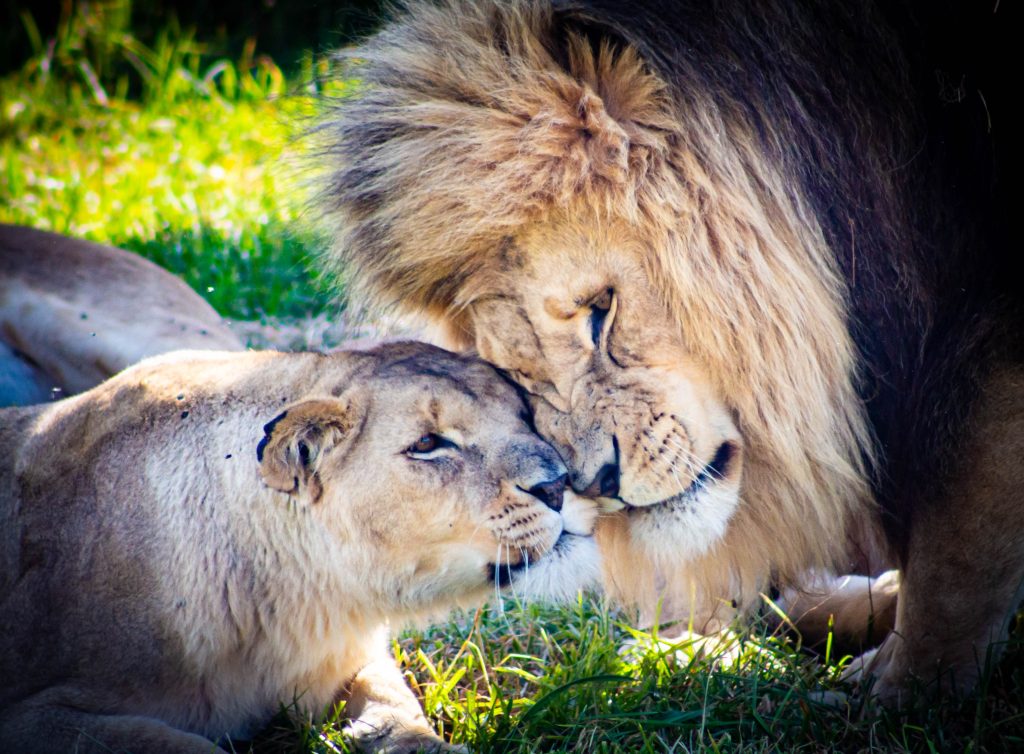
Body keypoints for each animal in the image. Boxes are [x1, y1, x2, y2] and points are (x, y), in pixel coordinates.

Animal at [0, 342, 600, 753]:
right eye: (429, 445)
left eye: (523, 414)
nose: (558, 484)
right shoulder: (34, 715)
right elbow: (180, 745)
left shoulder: (352, 660)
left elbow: (398, 713)